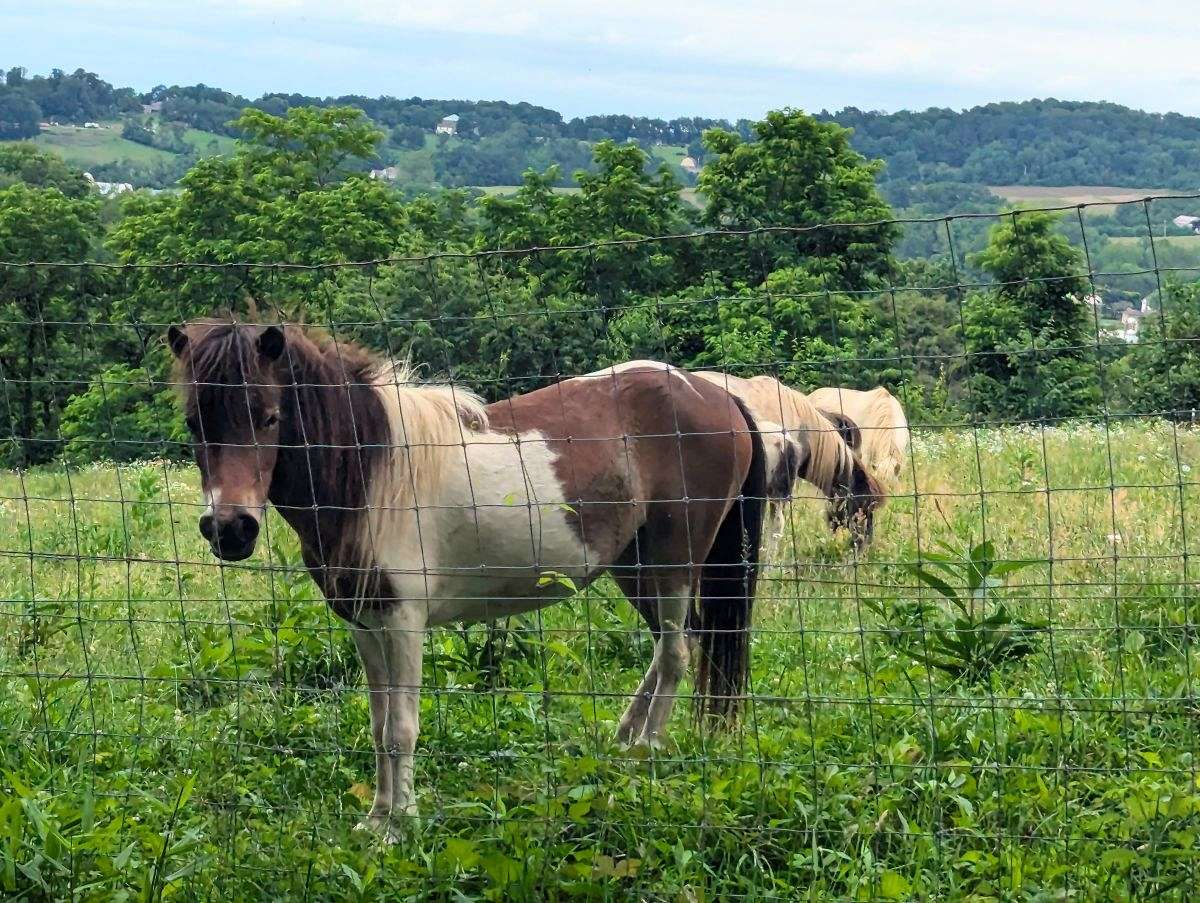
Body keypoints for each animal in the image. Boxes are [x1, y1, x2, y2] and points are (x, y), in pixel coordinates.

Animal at [168, 322, 768, 839]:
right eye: (196, 423)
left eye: (269, 417)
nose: (230, 529)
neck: (371, 472)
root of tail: (718, 397)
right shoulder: (364, 623)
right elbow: (378, 725)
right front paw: (376, 819)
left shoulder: (404, 621)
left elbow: (401, 728)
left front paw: (401, 826)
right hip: (635, 568)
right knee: (673, 646)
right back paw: (621, 744)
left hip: (674, 565)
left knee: (675, 656)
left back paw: (645, 753)